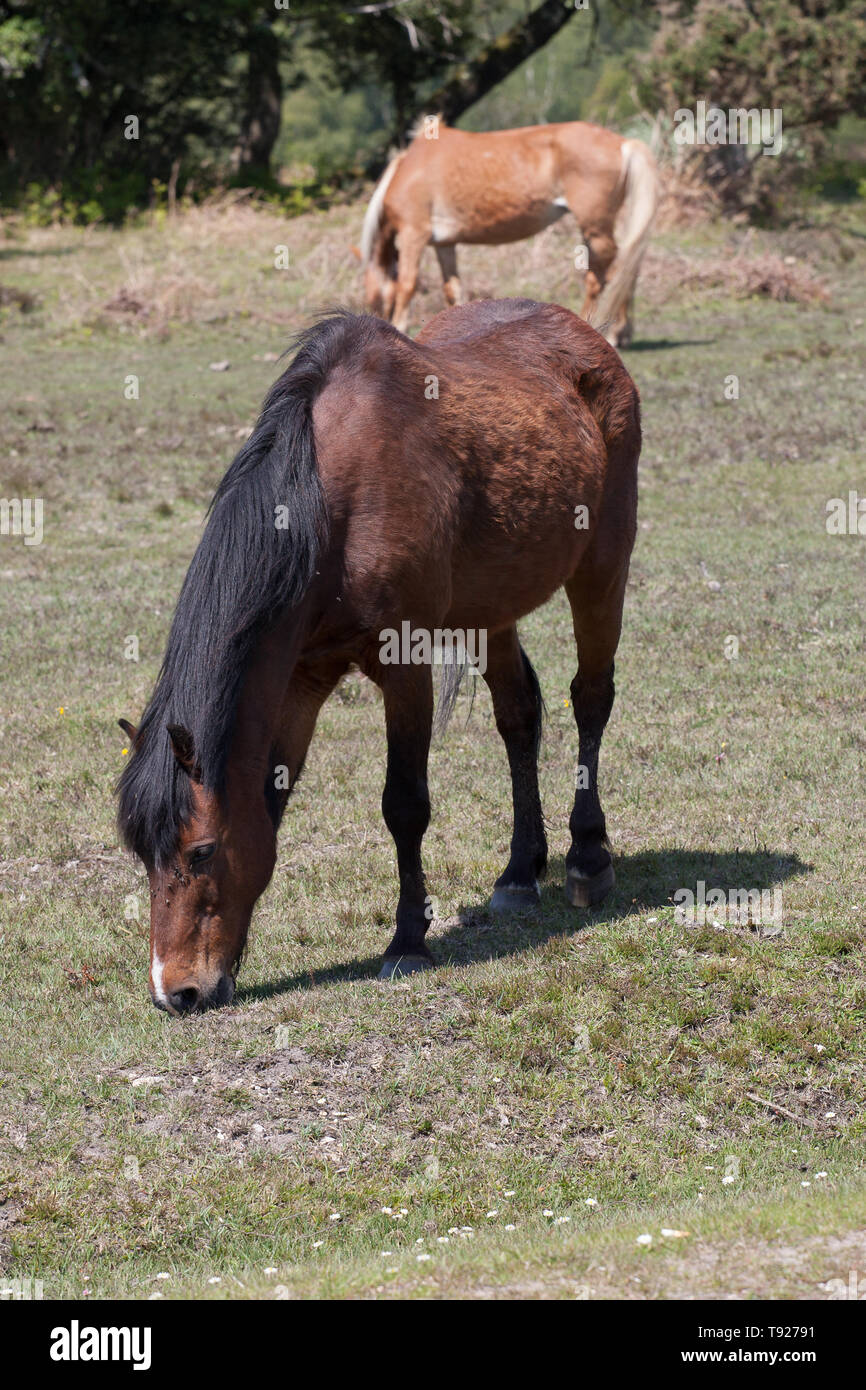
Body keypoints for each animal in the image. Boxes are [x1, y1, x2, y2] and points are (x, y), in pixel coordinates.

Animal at [117, 298, 640, 1015]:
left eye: (200, 852)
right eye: (144, 856)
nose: (176, 992)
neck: (328, 505)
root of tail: (589, 337)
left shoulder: (405, 661)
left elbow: (405, 804)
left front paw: (407, 941)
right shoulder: (303, 677)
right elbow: (273, 796)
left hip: (602, 566)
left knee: (591, 699)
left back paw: (589, 858)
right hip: (495, 608)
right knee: (519, 717)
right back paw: (519, 872)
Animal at [360, 120, 659, 347]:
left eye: (374, 304)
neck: (409, 169)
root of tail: (622, 142)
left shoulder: (413, 234)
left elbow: (406, 285)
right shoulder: (444, 244)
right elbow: (453, 291)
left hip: (594, 227)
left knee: (611, 271)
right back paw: (621, 331)